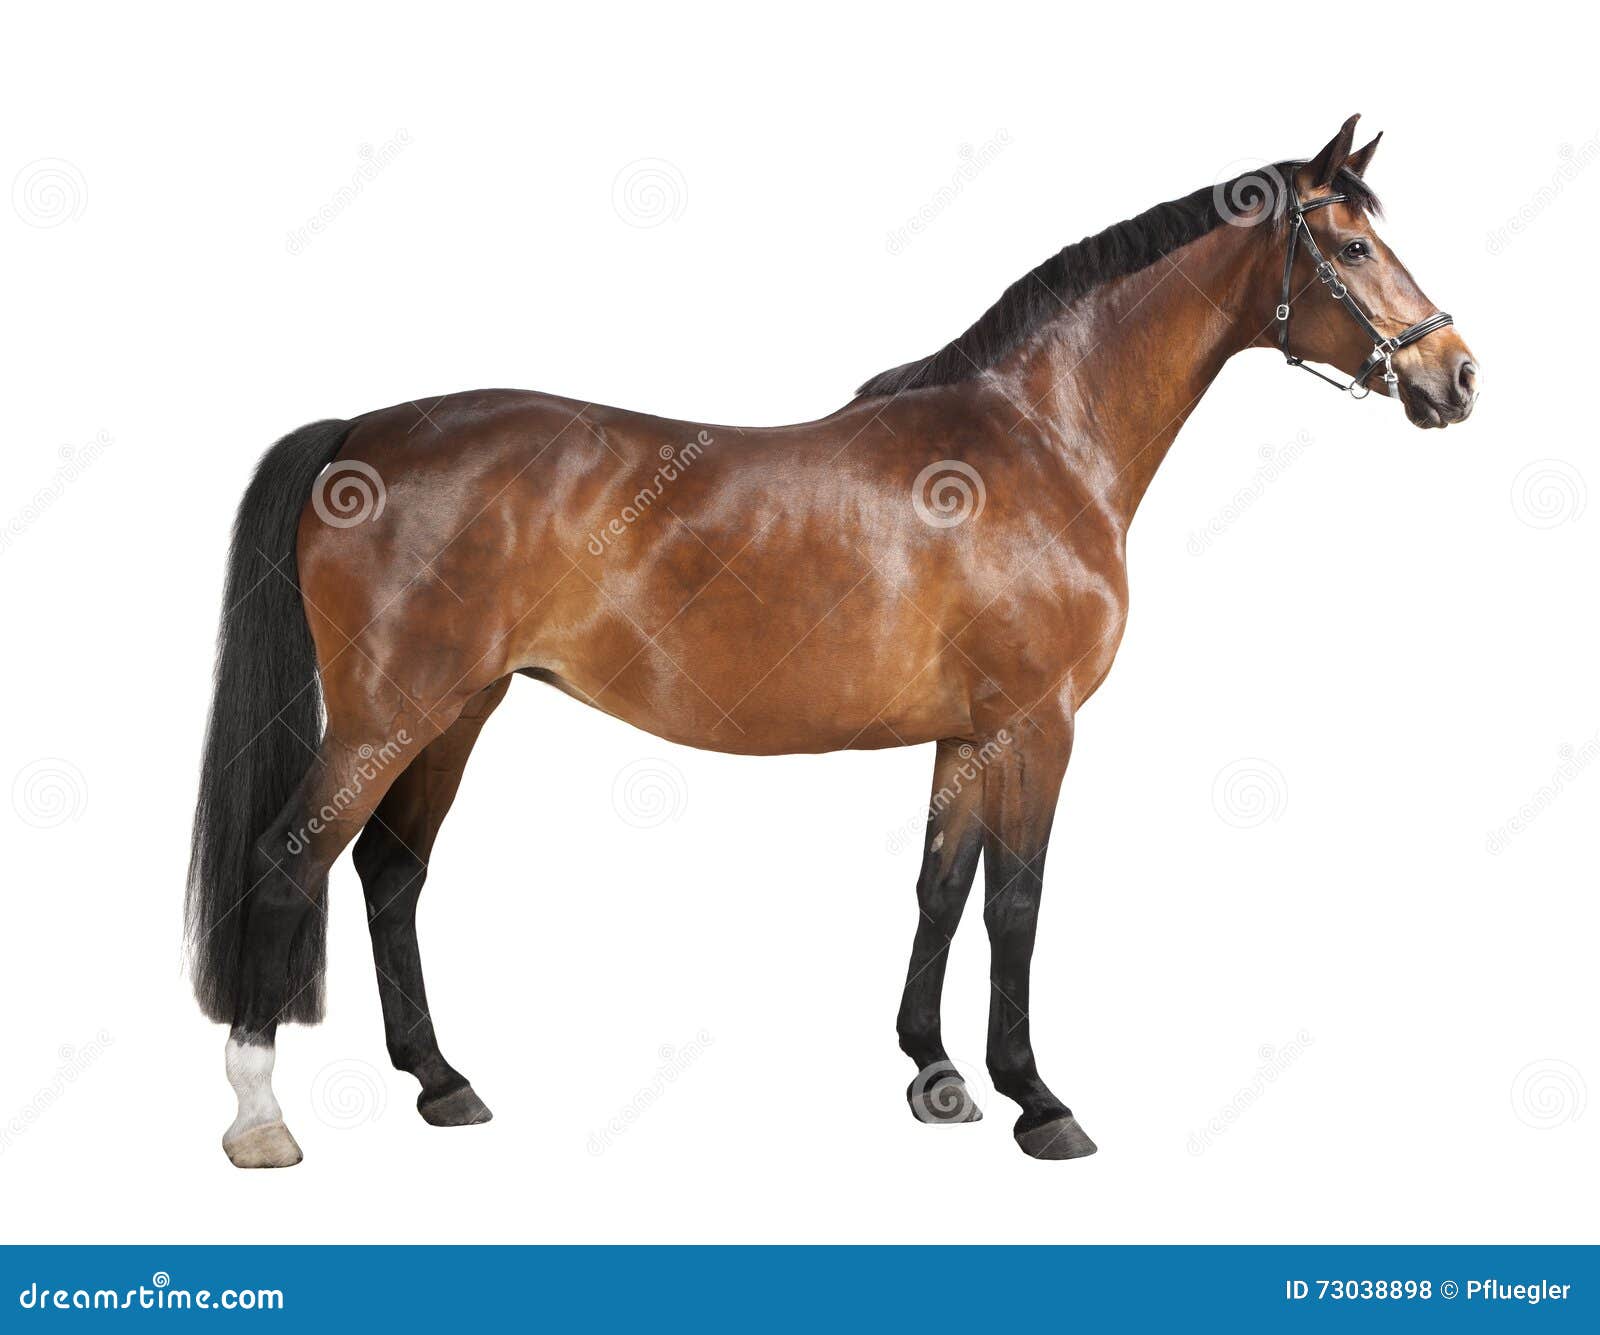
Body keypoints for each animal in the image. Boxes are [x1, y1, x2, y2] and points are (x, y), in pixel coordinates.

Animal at [187, 114, 1477, 1168]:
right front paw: (1038, 1102)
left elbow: (940, 889)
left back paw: (443, 1084)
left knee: (390, 873)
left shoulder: (967, 732)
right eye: (1349, 248)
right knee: (288, 859)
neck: (1039, 438)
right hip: (389, 713)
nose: (1454, 376)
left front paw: (936, 1074)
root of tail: (361, 431)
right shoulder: (1038, 725)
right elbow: (1016, 904)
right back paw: (259, 1118)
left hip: (459, 708)